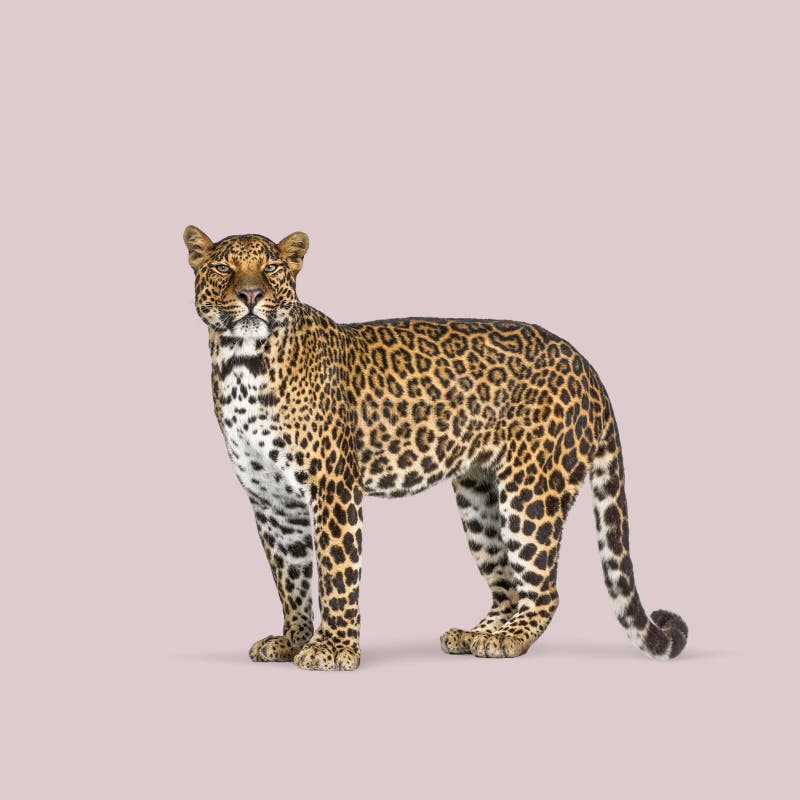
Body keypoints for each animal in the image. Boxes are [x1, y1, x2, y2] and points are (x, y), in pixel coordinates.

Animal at [183, 225, 688, 671]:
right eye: (224, 267)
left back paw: (508, 640)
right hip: (479, 497)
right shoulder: (272, 501)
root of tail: (586, 365)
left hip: (531, 491)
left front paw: (334, 649)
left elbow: (337, 574)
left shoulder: (334, 489)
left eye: (270, 267)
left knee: (544, 590)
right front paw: (292, 640)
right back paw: (477, 635)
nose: (251, 295)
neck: (242, 363)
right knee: (507, 584)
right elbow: (290, 578)